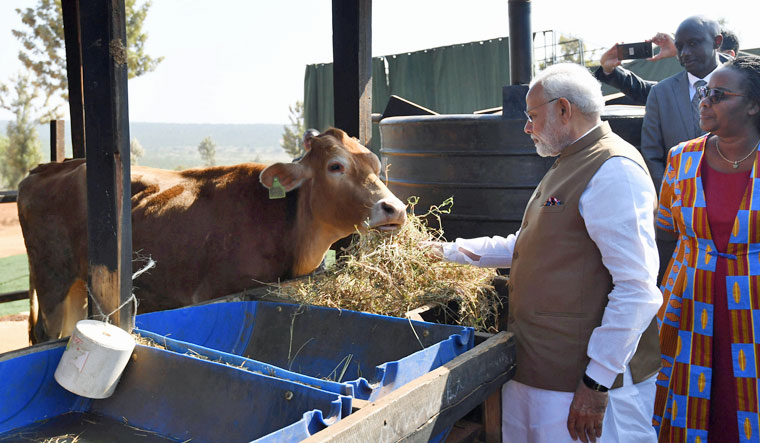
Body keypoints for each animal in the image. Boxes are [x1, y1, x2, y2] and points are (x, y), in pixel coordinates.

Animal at [18, 128, 407, 343]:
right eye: (335, 166)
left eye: (375, 165)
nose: (396, 209)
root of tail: (49, 167)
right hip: (52, 281)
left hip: (75, 286)